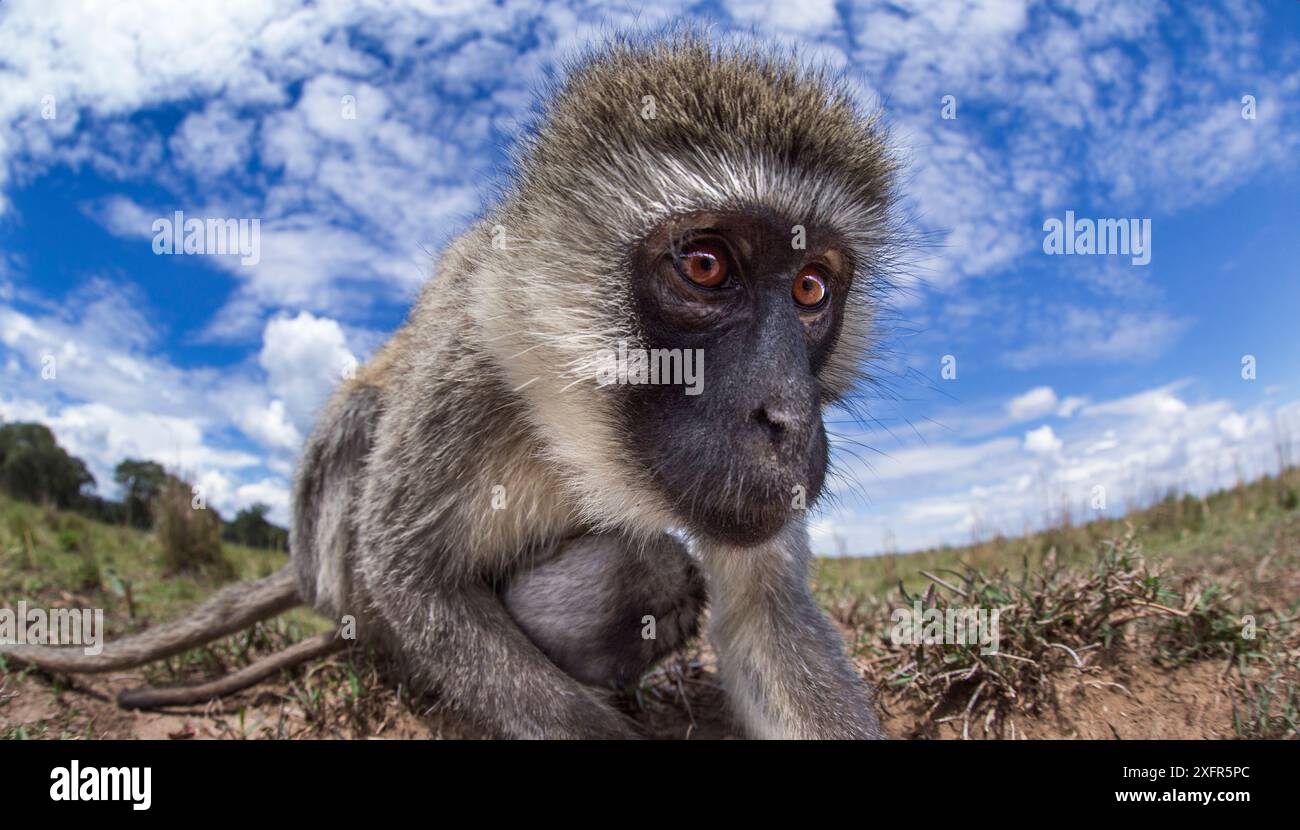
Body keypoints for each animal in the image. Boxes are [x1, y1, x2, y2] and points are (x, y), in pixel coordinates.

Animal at [2, 33, 900, 739]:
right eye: (708, 265)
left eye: (811, 287)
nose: (788, 416)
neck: (577, 422)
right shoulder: (464, 363)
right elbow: (408, 572)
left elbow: (762, 612)